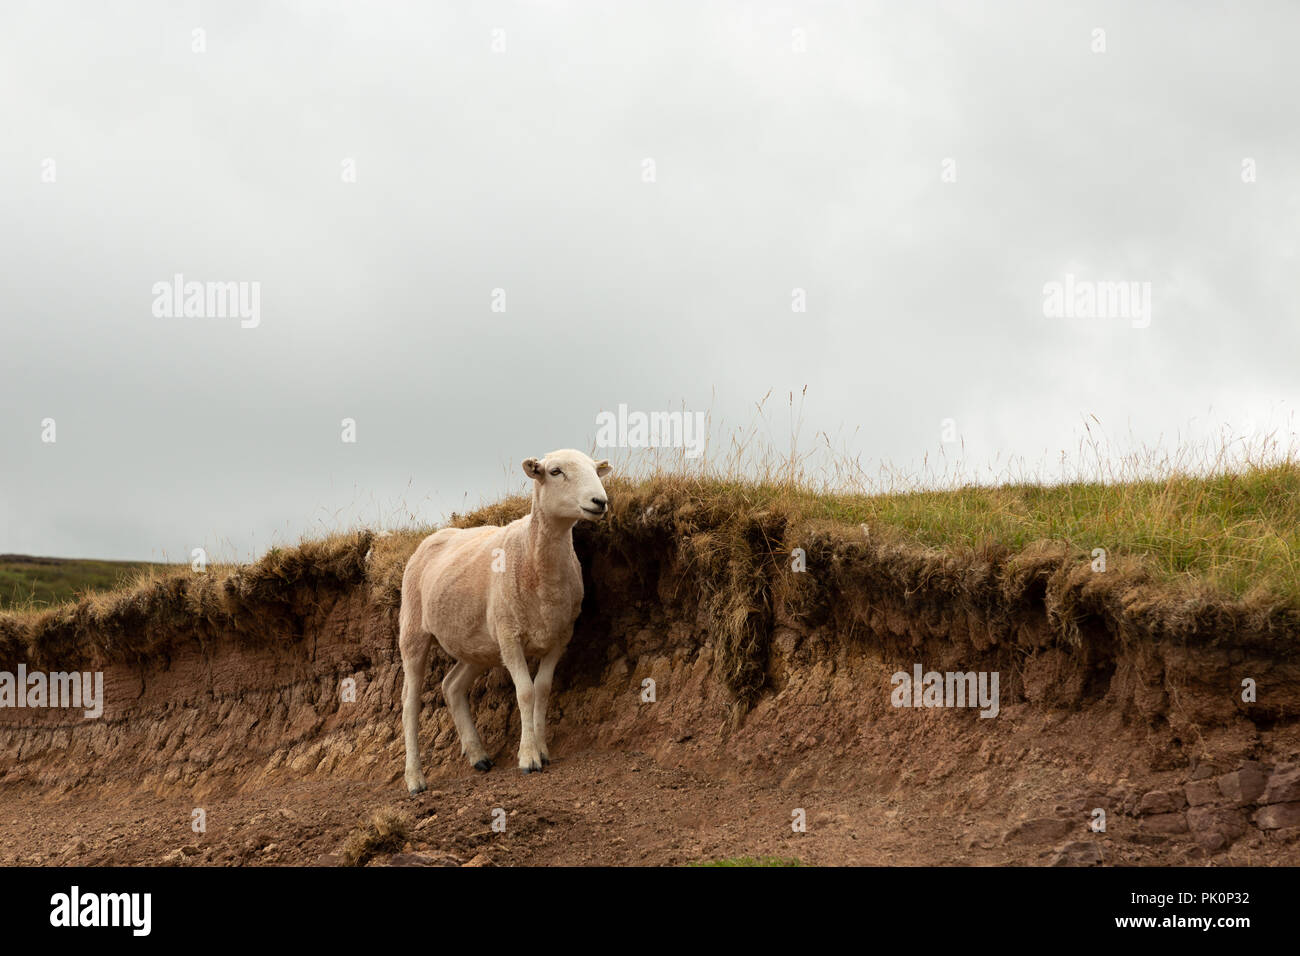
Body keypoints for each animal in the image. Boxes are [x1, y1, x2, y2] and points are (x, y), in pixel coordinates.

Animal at [399, 449, 611, 793]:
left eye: (595, 470)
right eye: (555, 471)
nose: (600, 501)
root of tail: (435, 535)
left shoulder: (560, 637)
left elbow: (542, 689)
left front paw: (542, 749)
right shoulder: (510, 636)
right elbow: (524, 691)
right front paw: (528, 758)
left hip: (477, 644)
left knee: (451, 686)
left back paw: (478, 757)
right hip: (414, 632)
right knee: (409, 704)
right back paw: (415, 778)